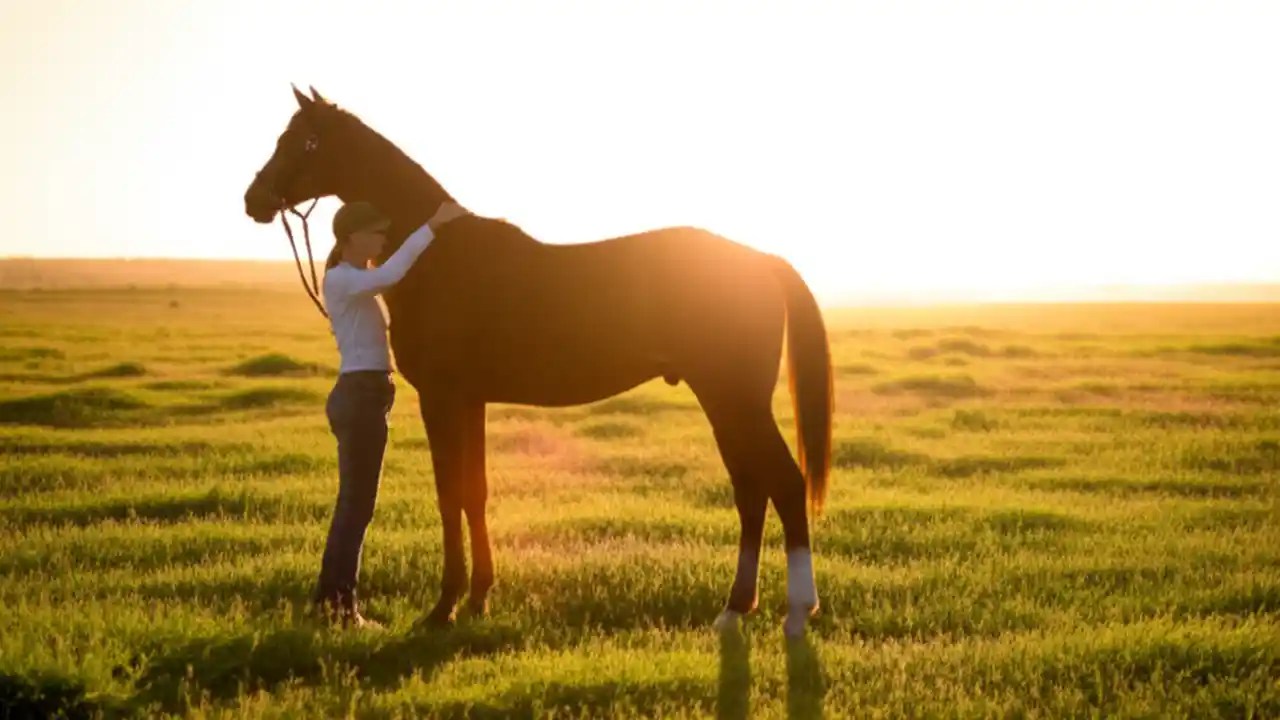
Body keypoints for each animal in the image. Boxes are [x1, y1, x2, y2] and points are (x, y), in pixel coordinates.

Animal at [242, 86, 834, 638]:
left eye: (304, 141)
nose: (254, 199)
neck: (438, 258)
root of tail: (762, 261)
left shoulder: (441, 398)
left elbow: (449, 494)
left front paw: (443, 608)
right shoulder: (470, 401)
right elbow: (475, 491)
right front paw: (478, 598)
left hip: (735, 400)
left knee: (784, 483)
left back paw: (797, 612)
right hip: (725, 403)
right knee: (751, 491)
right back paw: (734, 610)